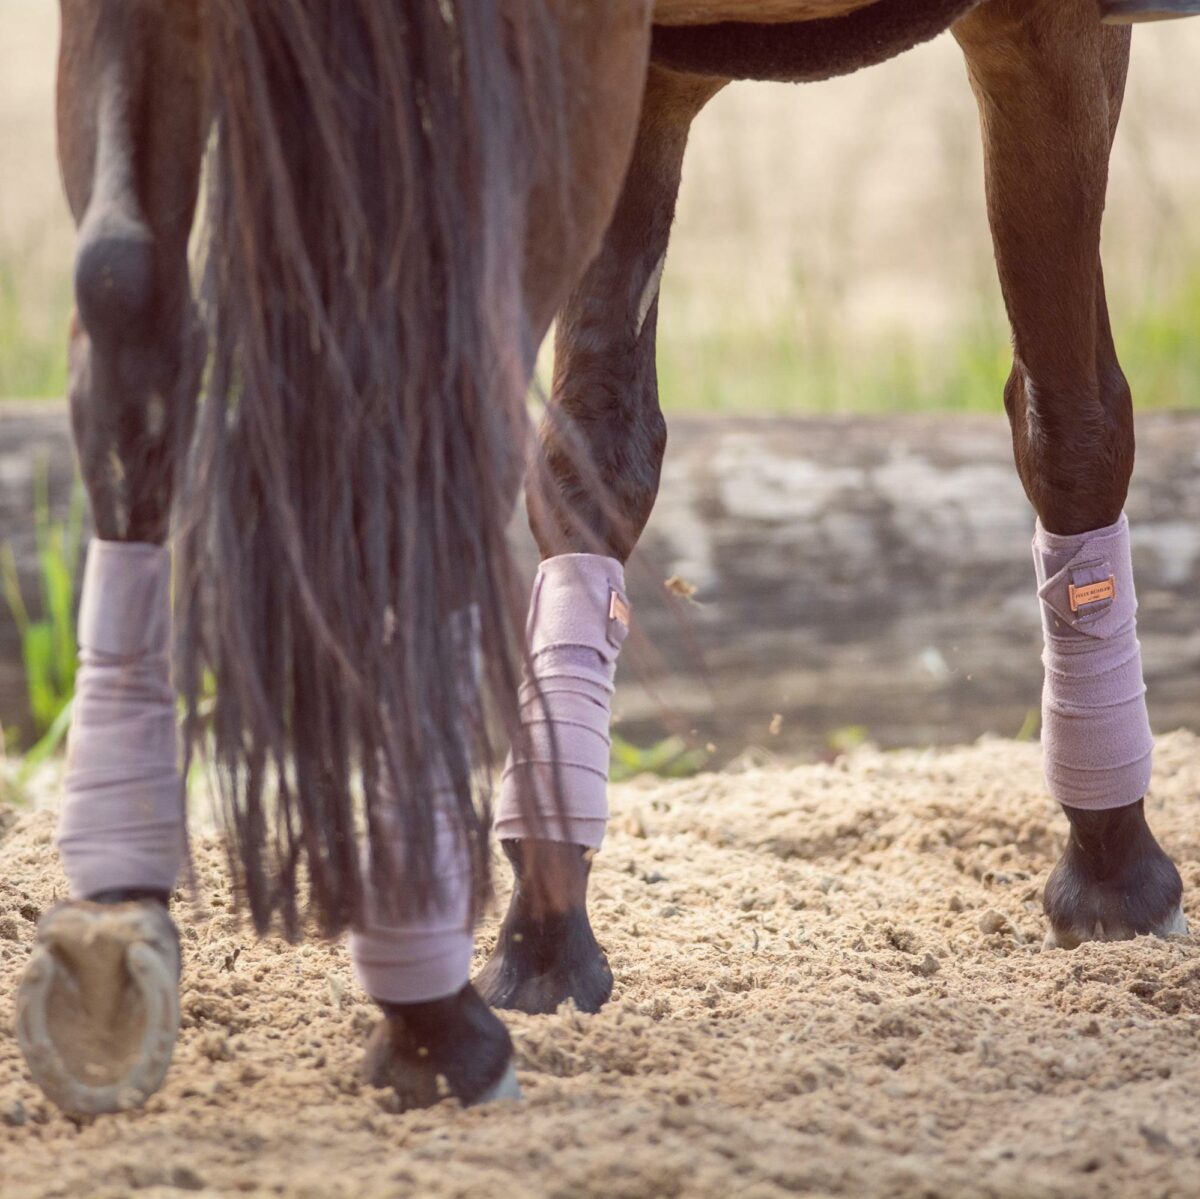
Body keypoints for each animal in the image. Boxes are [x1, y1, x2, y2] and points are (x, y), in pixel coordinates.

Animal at [14, 0, 1185, 1119]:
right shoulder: (1048, 30)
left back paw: (114, 936)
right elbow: (1073, 421)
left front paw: (545, 929)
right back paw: (431, 1018)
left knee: (131, 322)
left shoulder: (654, 79)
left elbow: (597, 456)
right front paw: (1115, 870)